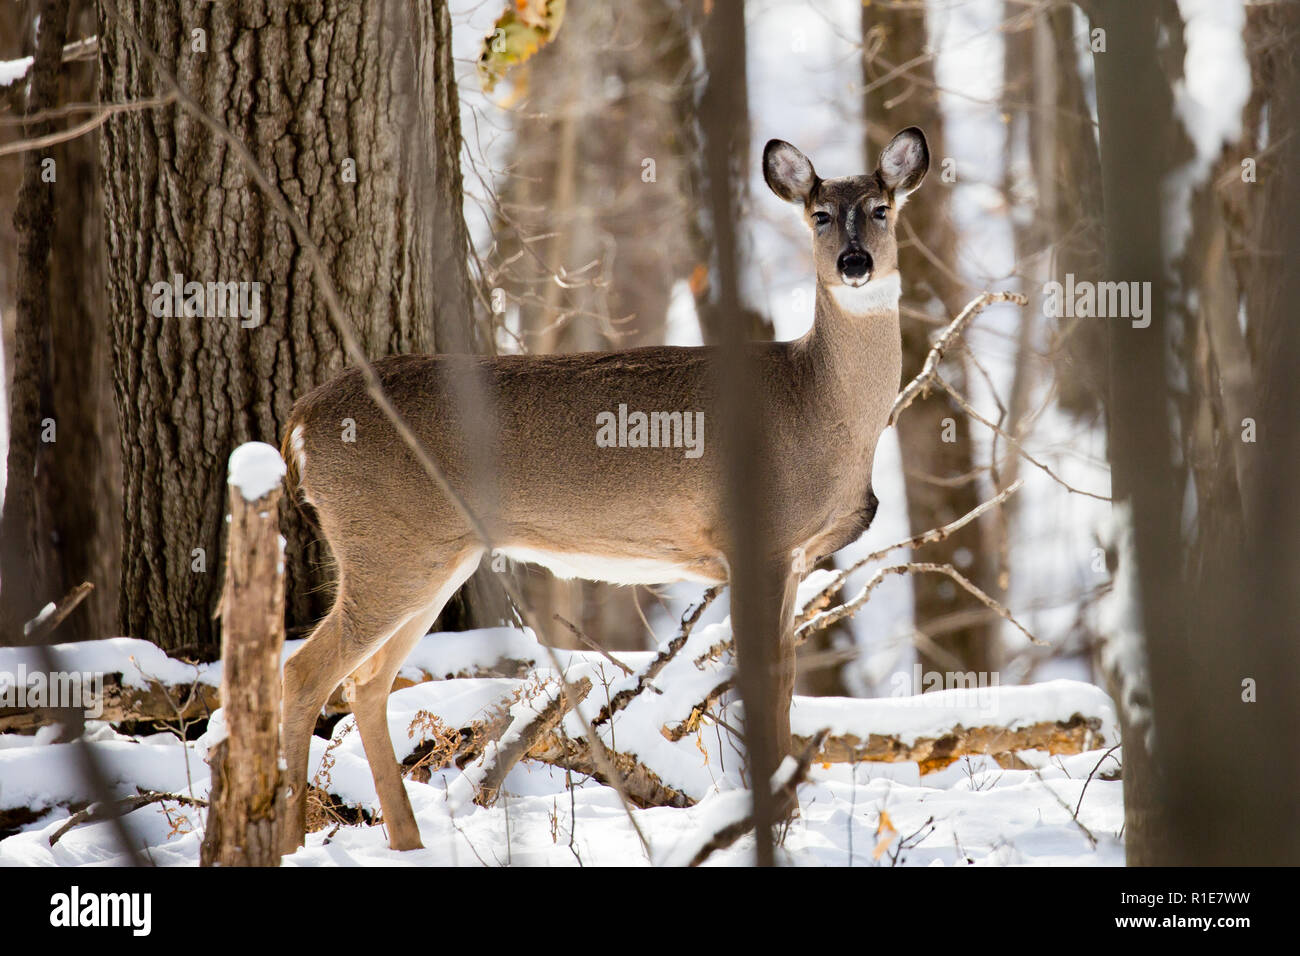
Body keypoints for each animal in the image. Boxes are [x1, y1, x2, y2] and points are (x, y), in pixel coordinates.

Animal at [277, 127, 929, 853]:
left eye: (881, 209)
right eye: (818, 215)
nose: (854, 263)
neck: (815, 406)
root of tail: (302, 417)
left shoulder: (788, 557)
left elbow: (783, 681)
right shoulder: (755, 543)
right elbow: (768, 682)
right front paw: (772, 820)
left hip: (433, 552)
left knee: (366, 683)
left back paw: (409, 842)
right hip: (388, 542)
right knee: (306, 675)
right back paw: (289, 840)